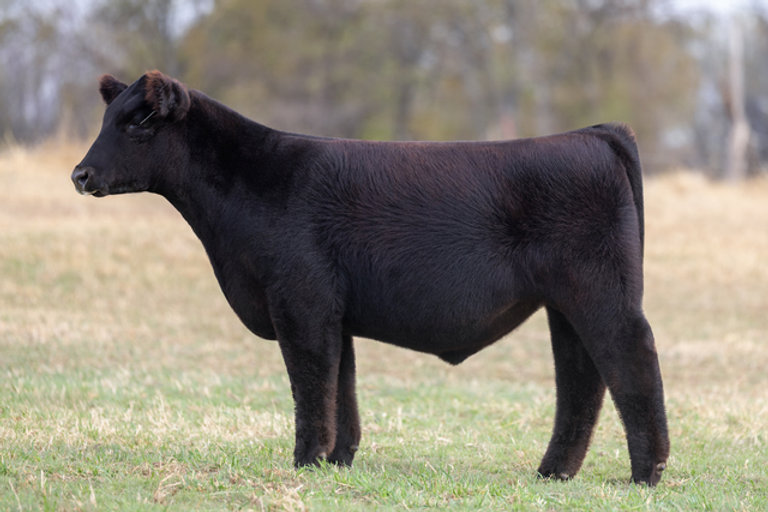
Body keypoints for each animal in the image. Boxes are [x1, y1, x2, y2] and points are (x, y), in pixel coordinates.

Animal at [71, 70, 669, 485]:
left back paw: (646, 473)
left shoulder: (300, 302)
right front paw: (336, 462)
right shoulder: (334, 312)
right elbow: (343, 387)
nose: (81, 173)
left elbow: (312, 384)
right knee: (581, 377)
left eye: (139, 123)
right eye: (106, 119)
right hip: (566, 304)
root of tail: (594, 134)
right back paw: (554, 472)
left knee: (631, 358)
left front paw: (305, 460)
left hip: (602, 292)